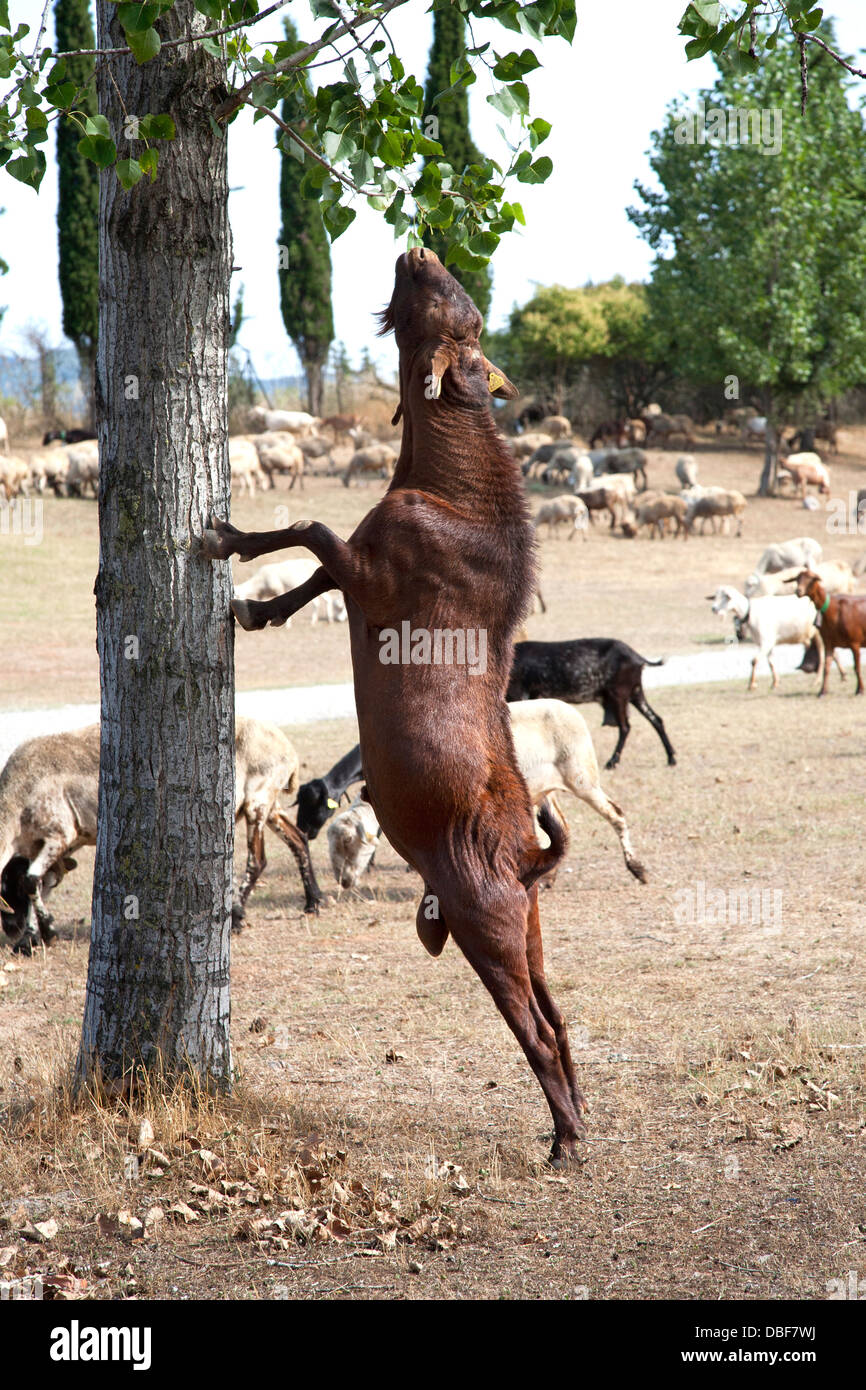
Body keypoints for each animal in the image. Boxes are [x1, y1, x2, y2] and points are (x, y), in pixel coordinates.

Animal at [203, 246, 588, 1165]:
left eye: (452, 304)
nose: (419, 251)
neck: (453, 489)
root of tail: (528, 859)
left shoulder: (378, 569)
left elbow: (308, 531)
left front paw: (225, 540)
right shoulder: (364, 565)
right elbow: (312, 572)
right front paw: (256, 610)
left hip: (488, 928)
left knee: (535, 1032)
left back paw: (565, 1136)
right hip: (529, 931)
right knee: (561, 1016)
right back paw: (581, 1114)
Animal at [507, 638, 675, 770]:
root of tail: (637, 657)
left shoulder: (519, 695)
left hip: (619, 695)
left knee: (625, 727)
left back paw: (612, 762)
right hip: (635, 693)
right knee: (656, 719)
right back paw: (671, 758)